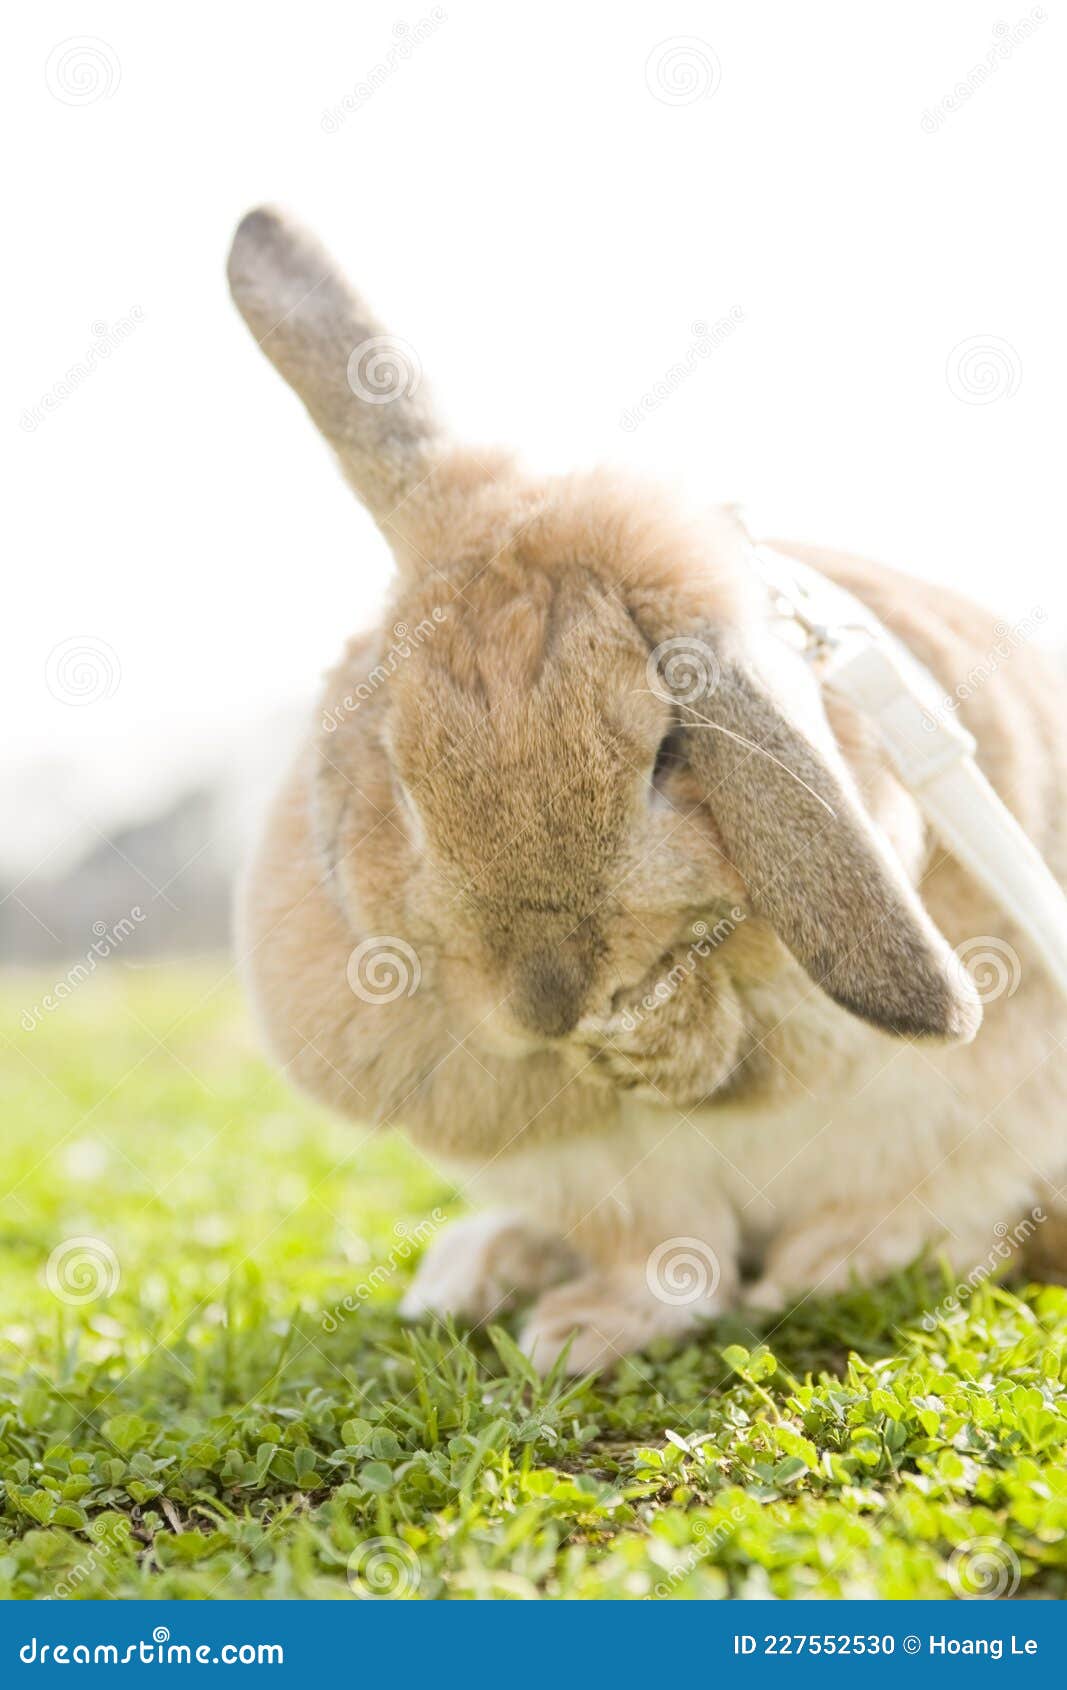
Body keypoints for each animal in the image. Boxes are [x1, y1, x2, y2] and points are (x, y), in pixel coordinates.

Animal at [228, 206, 1067, 1373]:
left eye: (668, 756)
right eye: (397, 770)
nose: (545, 1002)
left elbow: (764, 1044)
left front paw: (660, 1039)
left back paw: (828, 1262)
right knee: (668, 1259)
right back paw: (515, 1294)